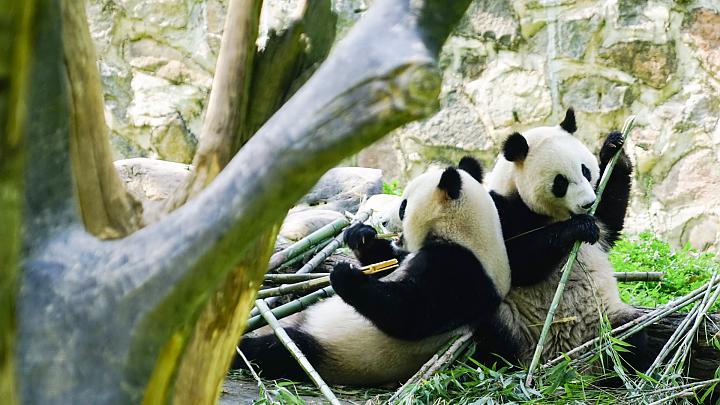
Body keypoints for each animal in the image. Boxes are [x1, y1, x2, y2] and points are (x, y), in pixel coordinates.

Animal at [232, 158, 517, 386]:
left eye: (403, 206)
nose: (383, 222)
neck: (468, 233)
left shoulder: (461, 271)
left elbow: (410, 313)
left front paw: (346, 276)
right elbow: (387, 262)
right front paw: (361, 235)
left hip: (330, 351)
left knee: (281, 350)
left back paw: (242, 350)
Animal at [482, 107, 652, 371]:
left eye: (585, 170)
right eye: (560, 182)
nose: (587, 203)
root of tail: (568, 359)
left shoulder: (601, 218)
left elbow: (610, 216)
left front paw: (614, 148)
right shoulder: (502, 211)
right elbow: (516, 262)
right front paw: (579, 228)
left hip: (606, 318)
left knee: (630, 335)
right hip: (515, 326)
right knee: (495, 342)